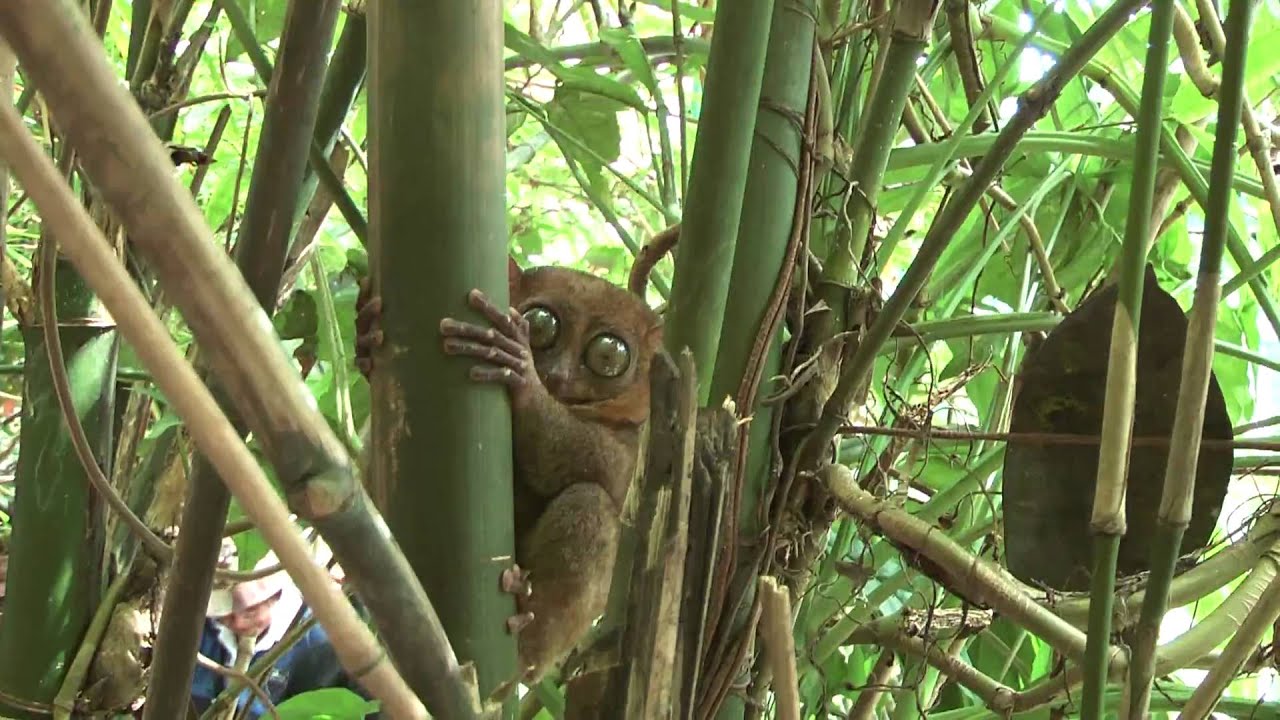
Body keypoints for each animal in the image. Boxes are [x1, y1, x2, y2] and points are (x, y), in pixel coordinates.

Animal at [354, 258, 664, 683]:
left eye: (608, 355)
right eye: (540, 325)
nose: (559, 376)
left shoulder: (636, 439)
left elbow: (599, 466)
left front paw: (521, 372)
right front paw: (366, 335)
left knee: (592, 505)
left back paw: (523, 637)